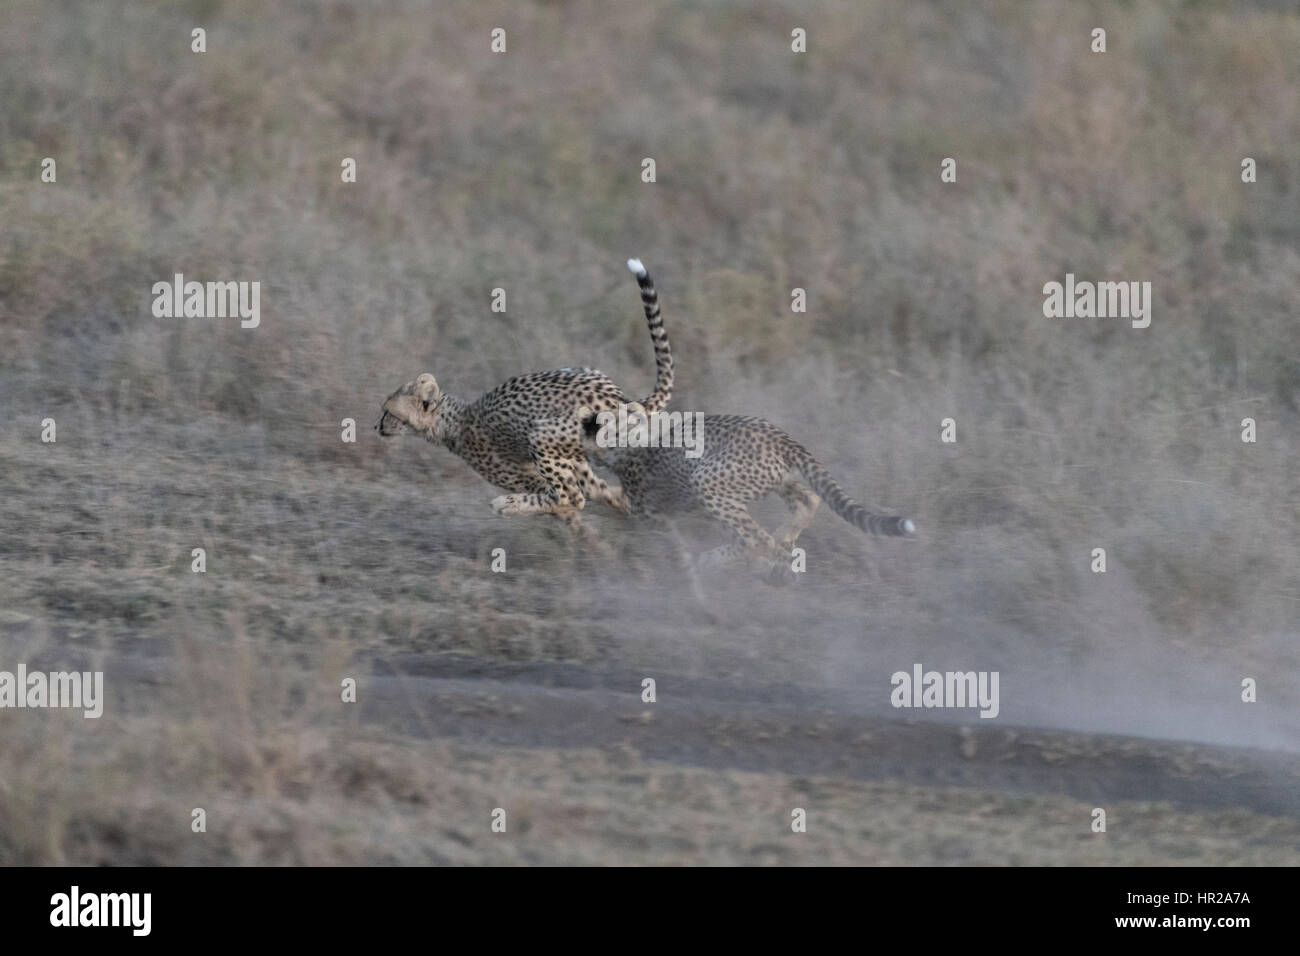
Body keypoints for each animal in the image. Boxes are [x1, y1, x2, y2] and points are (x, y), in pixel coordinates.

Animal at [376, 259, 672, 539]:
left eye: (389, 412)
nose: (376, 427)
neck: (454, 421)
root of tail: (616, 395)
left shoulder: (530, 478)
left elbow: (567, 508)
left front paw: (593, 541)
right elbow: (596, 497)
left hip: (543, 435)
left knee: (572, 496)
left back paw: (507, 504)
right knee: (589, 491)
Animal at [580, 402, 915, 584]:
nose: (587, 456)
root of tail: (779, 435)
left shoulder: (659, 518)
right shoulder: (698, 511)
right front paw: (772, 571)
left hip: (708, 480)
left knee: (757, 538)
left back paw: (715, 560)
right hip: (770, 480)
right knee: (809, 500)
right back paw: (783, 542)